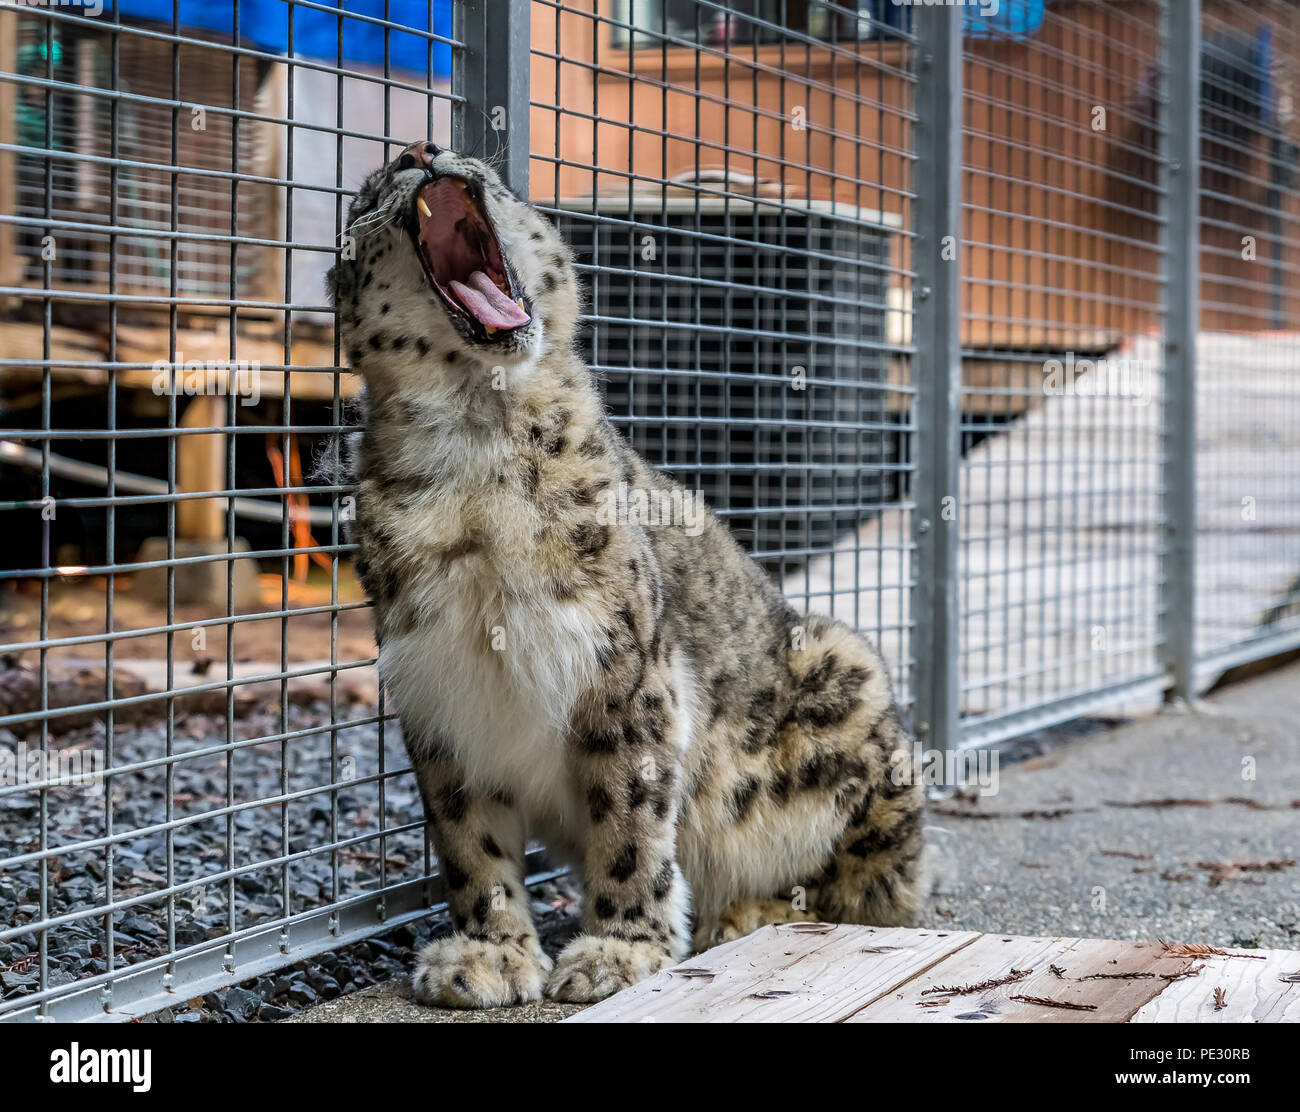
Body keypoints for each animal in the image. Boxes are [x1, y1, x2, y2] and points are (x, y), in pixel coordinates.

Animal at [326, 140, 925, 1008]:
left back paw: (747, 914)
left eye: (488, 172)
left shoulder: (626, 669)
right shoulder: (439, 689)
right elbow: (469, 838)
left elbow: (629, 815)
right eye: (369, 194)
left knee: (869, 889)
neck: (476, 451)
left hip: (846, 674)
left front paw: (620, 950)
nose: (420, 149)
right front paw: (489, 955)